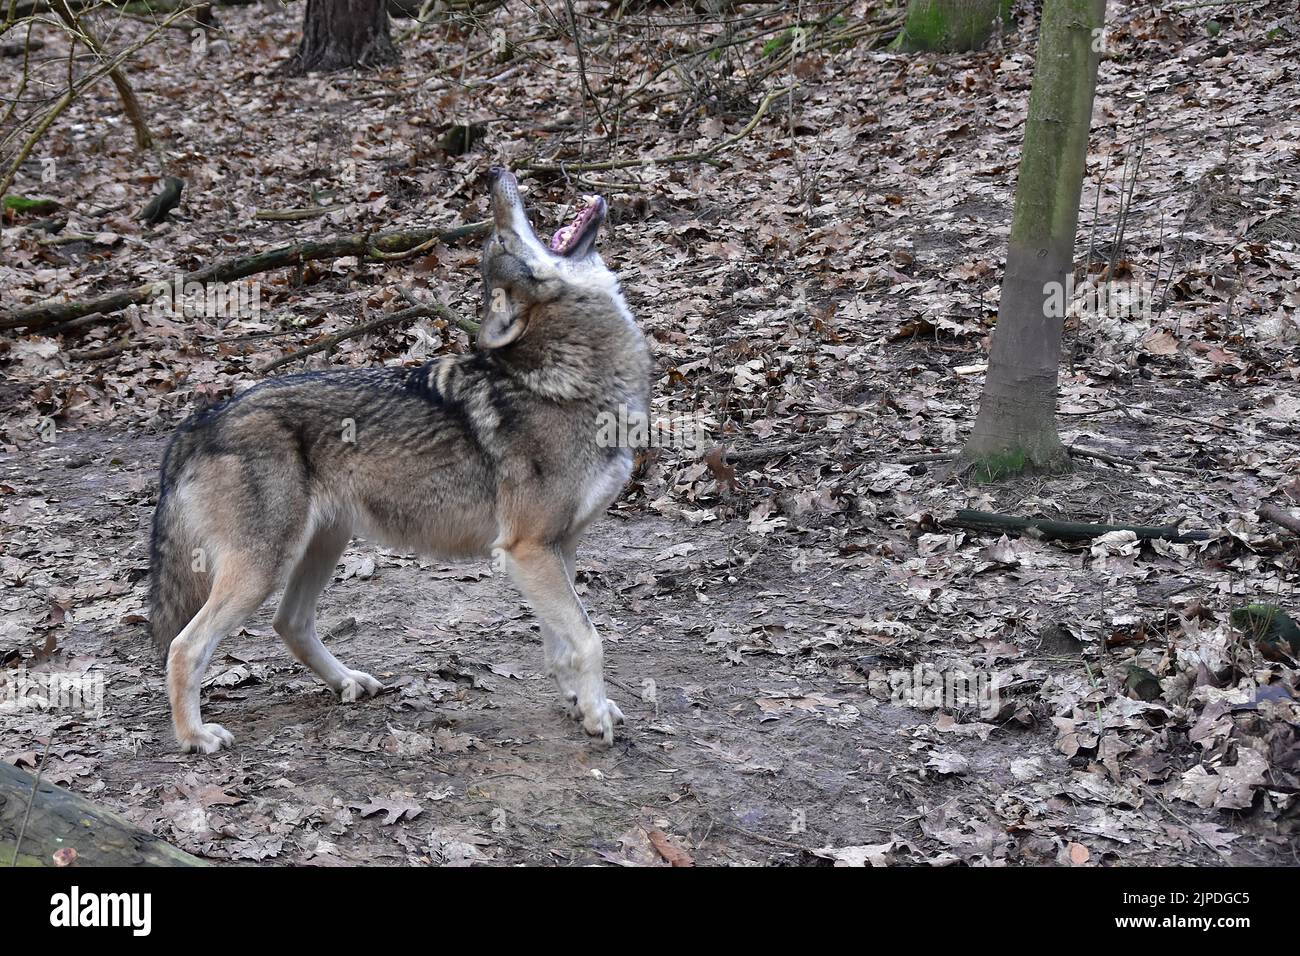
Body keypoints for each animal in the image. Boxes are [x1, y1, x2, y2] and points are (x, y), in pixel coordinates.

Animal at [149, 167, 651, 754]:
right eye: (500, 241)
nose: (495, 174)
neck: (571, 377)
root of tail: (200, 420)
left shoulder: (557, 550)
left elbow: (562, 644)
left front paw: (581, 706)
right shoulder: (527, 551)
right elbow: (589, 640)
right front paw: (596, 718)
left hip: (321, 547)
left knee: (288, 623)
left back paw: (347, 682)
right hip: (262, 567)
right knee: (185, 647)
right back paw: (196, 737)